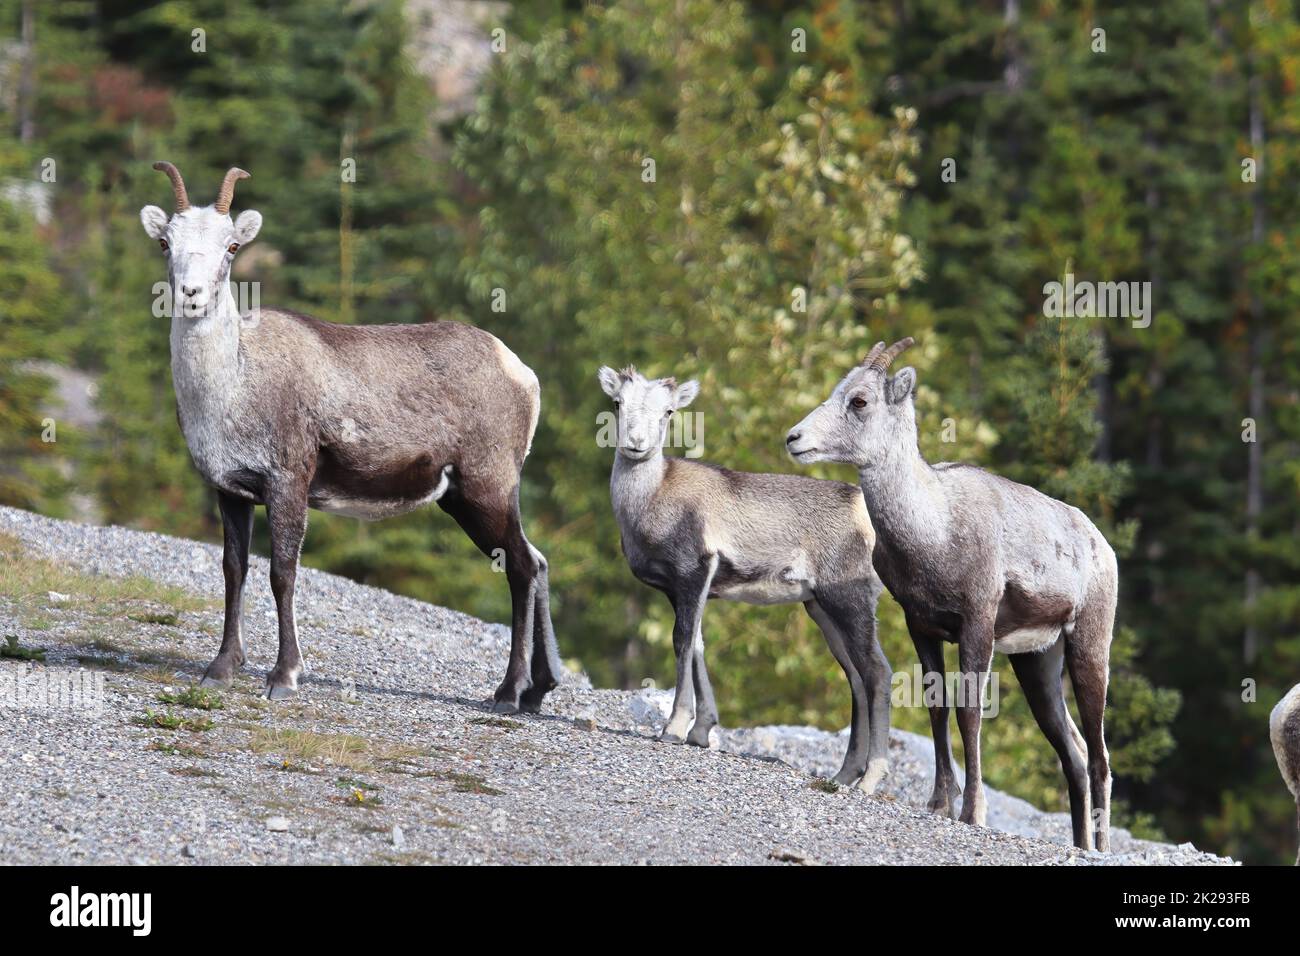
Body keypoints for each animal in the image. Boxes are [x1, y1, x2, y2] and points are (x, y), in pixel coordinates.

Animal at [139, 161, 562, 713]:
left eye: (231, 246)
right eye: (165, 242)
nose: (191, 294)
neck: (233, 384)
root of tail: (523, 375)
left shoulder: (288, 484)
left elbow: (282, 573)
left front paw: (283, 677)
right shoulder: (231, 492)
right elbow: (234, 570)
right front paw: (220, 670)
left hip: (486, 490)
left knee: (521, 567)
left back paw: (508, 694)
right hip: (463, 499)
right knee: (536, 560)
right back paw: (538, 690)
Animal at [598, 365, 891, 790]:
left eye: (668, 411)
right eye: (618, 402)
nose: (636, 445)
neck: (650, 502)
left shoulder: (694, 572)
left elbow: (682, 642)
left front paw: (674, 729)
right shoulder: (682, 590)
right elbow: (697, 644)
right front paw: (701, 732)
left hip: (848, 601)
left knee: (878, 673)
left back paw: (868, 781)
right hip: (821, 609)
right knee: (856, 677)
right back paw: (844, 773)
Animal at [787, 338, 1116, 850]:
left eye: (859, 400)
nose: (794, 438)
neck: (935, 527)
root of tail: (1102, 546)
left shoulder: (976, 624)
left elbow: (969, 714)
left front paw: (972, 812)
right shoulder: (921, 626)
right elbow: (937, 709)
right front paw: (939, 803)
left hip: (1089, 648)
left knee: (1099, 756)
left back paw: (1098, 848)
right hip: (1038, 663)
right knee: (1075, 752)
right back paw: (1080, 843)